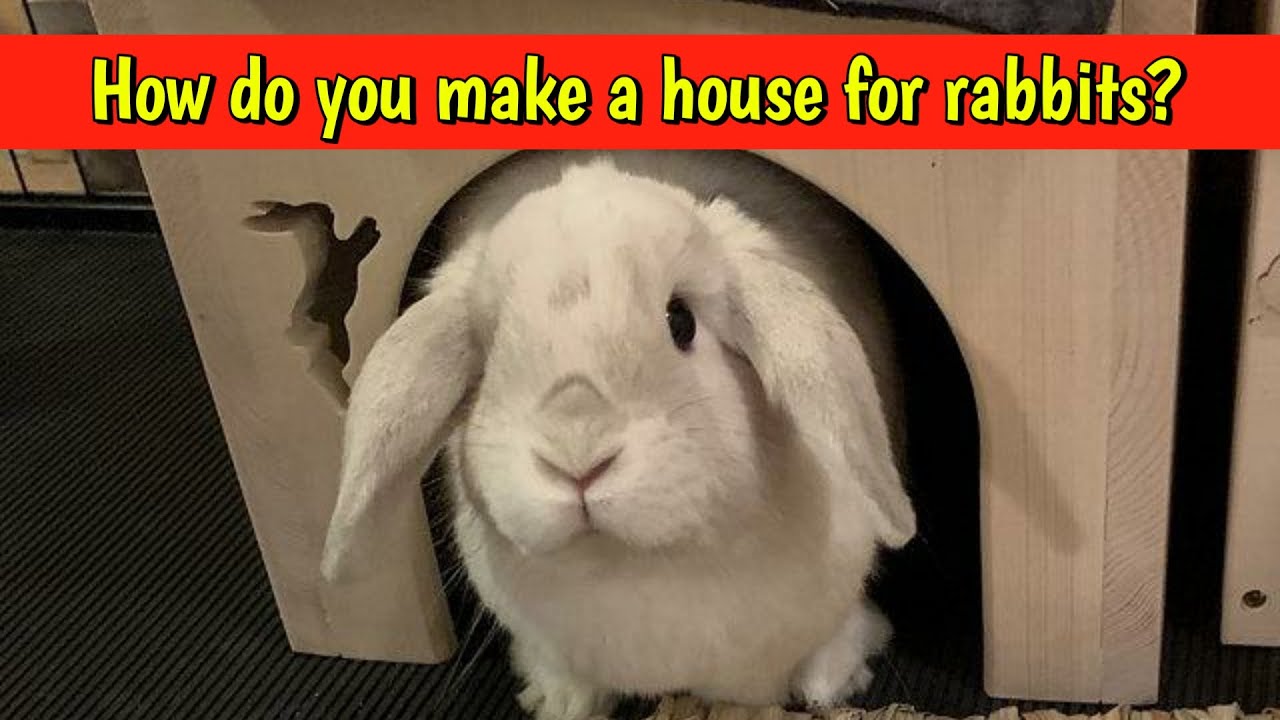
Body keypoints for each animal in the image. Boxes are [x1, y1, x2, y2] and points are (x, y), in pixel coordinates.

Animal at [320, 150, 917, 720]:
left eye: (682, 321)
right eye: (487, 353)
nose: (577, 460)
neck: (634, 566)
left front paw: (833, 681)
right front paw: (557, 703)